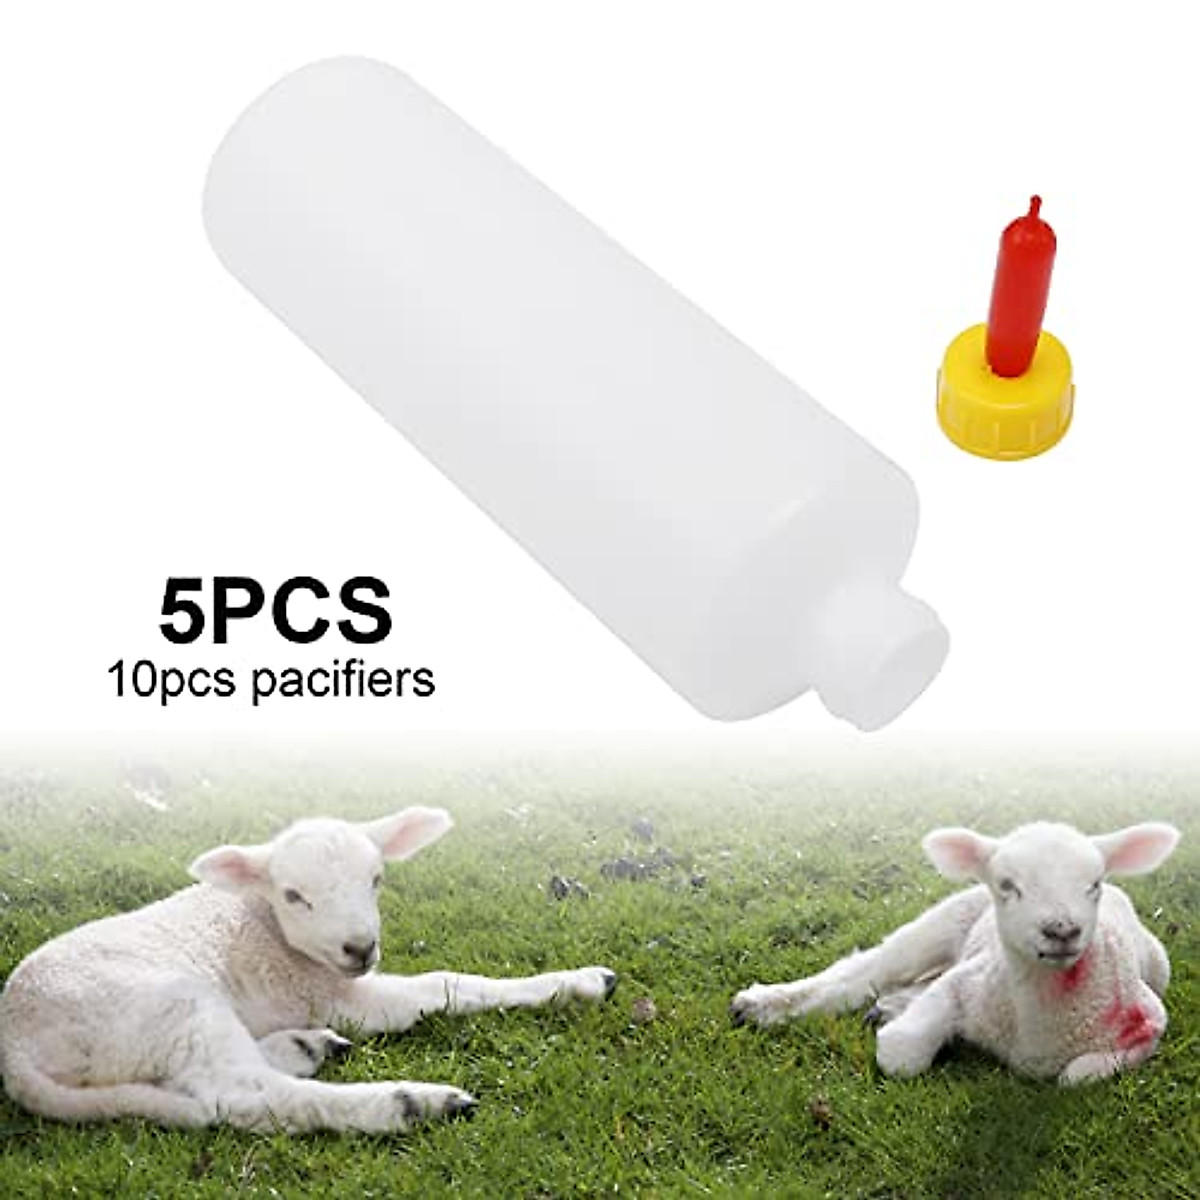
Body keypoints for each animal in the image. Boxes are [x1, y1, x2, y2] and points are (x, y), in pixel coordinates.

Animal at [0, 807, 617, 1132]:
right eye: (295, 896)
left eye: (377, 879)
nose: (360, 947)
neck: (261, 918)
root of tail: (16, 1053)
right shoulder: (337, 994)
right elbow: (447, 984)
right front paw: (580, 981)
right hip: (166, 1008)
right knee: (245, 1094)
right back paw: (409, 1103)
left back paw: (305, 1048)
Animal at [730, 821, 1179, 1085]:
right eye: (1006, 885)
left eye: (1094, 884)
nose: (1062, 930)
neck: (1039, 1031)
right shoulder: (966, 981)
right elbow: (900, 1055)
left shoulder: (1149, 1022)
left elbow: (1076, 1075)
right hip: (943, 922)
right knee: (862, 972)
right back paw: (761, 1004)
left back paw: (890, 1004)